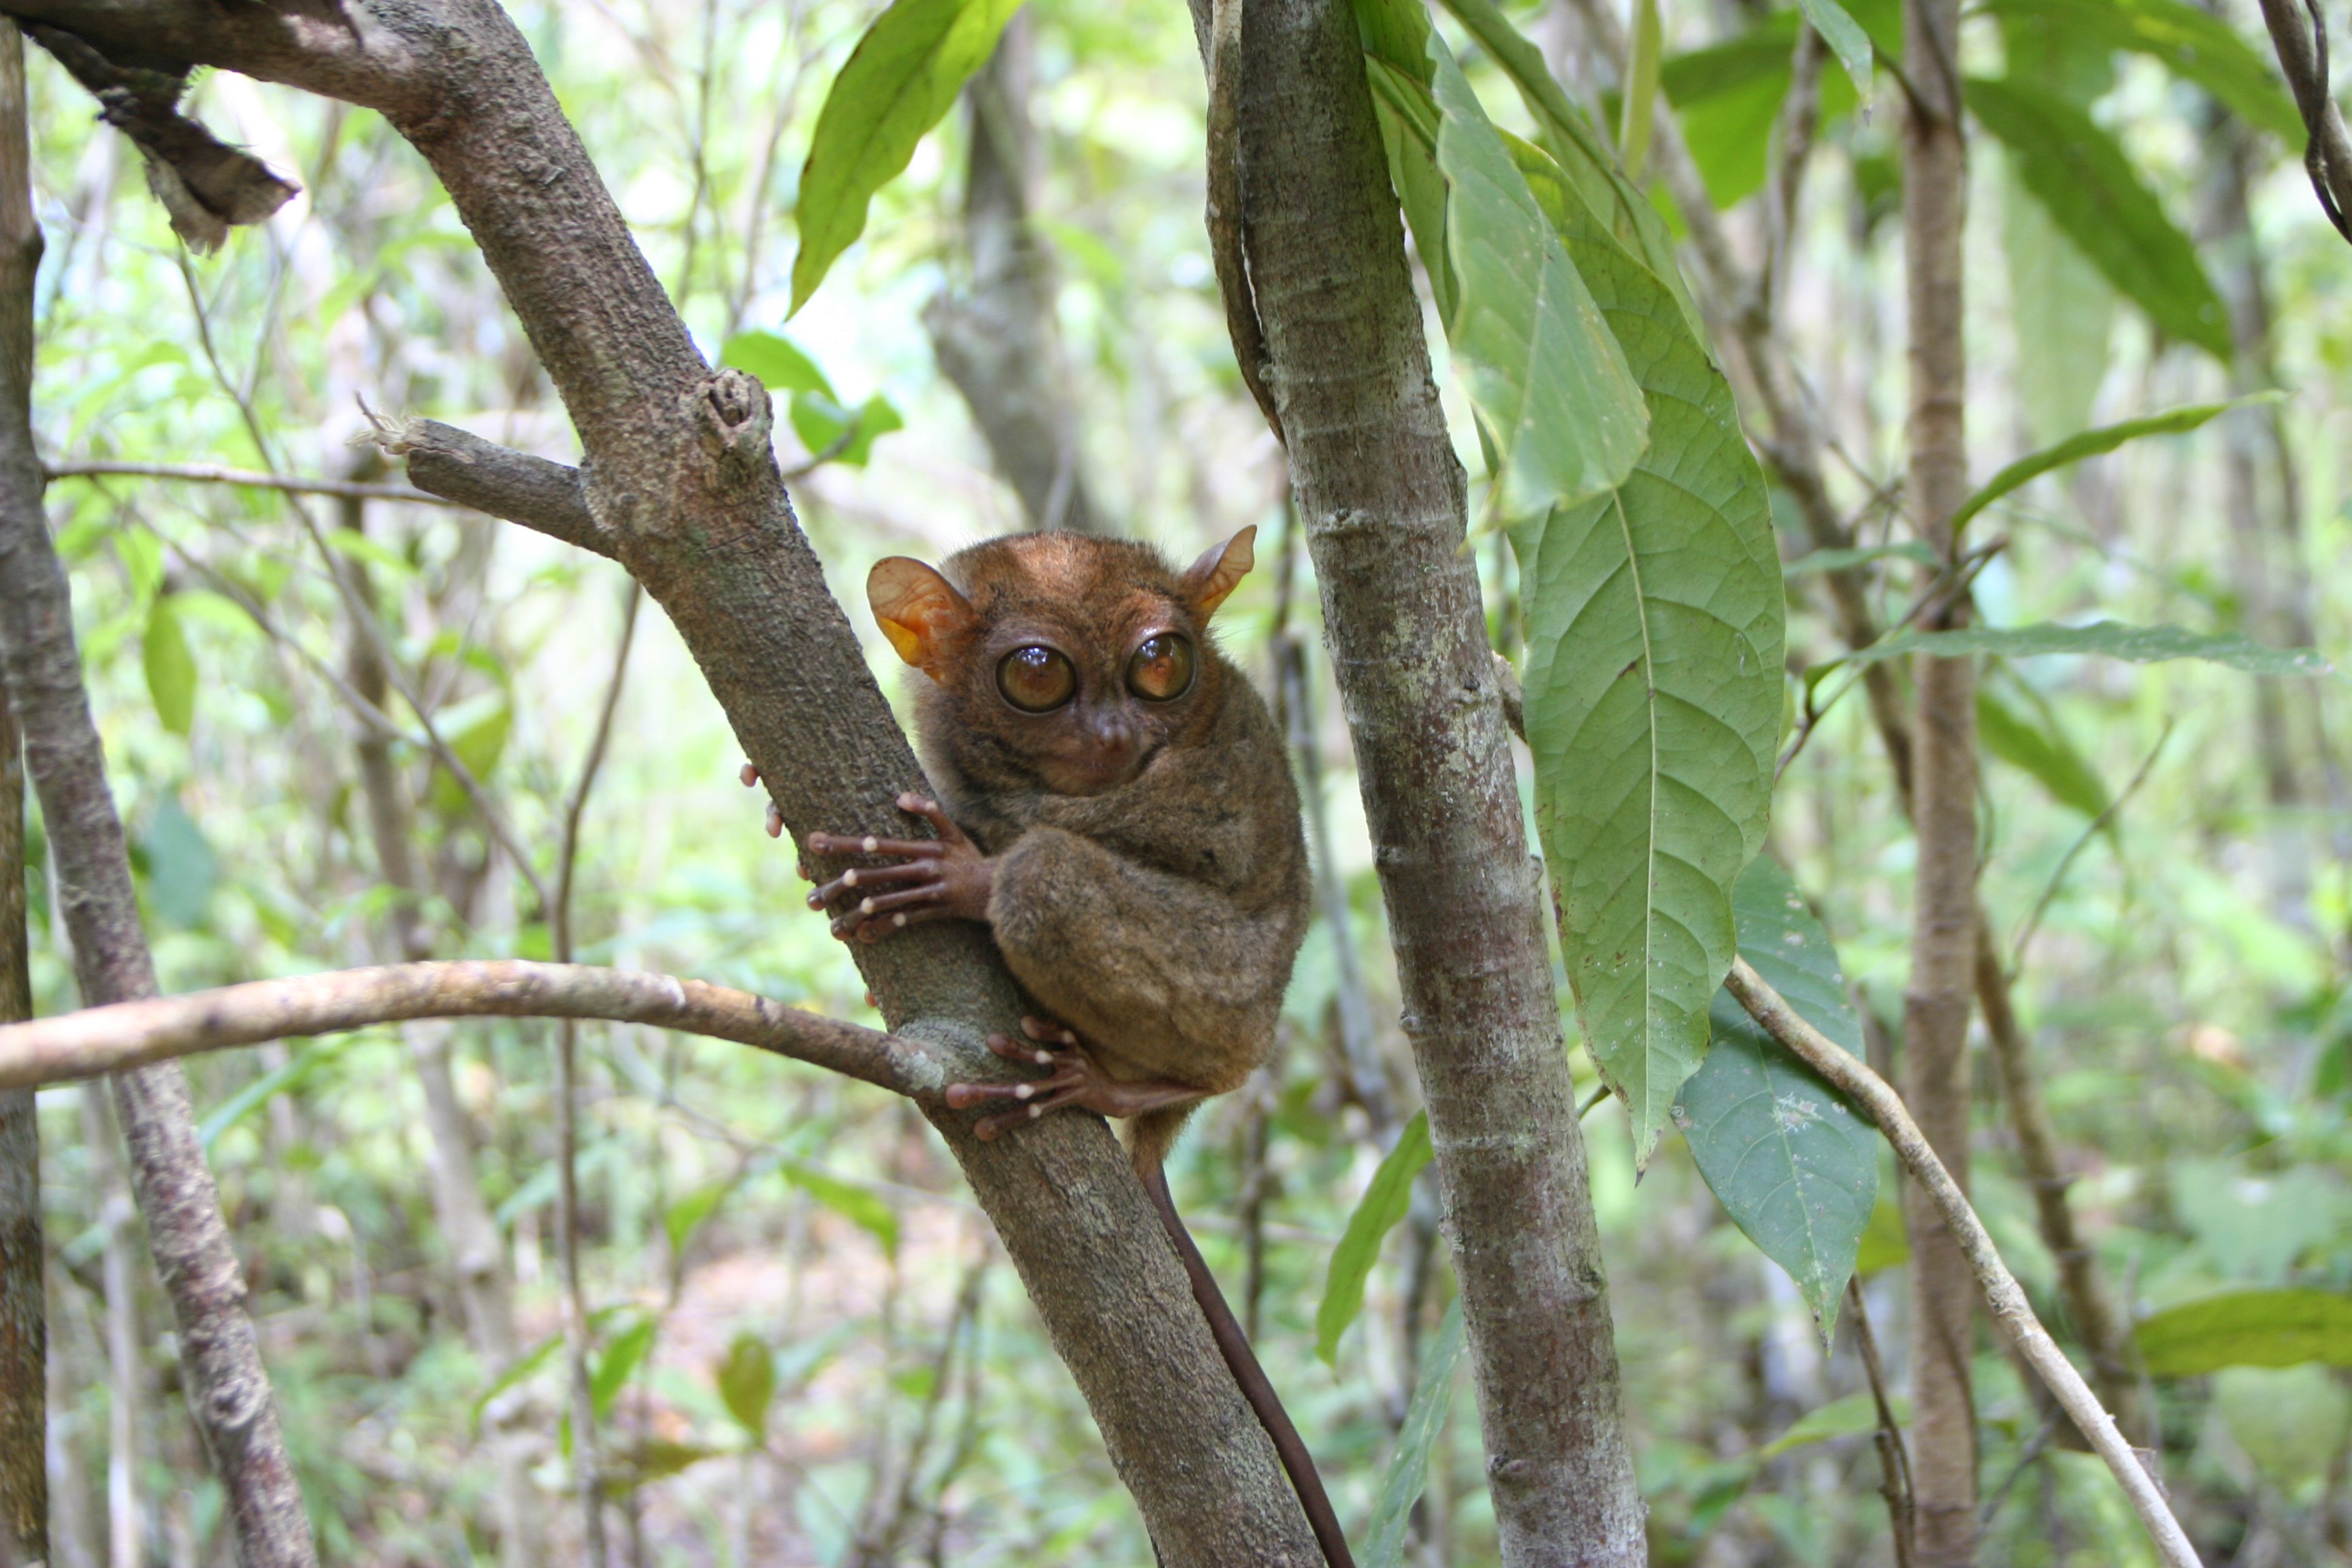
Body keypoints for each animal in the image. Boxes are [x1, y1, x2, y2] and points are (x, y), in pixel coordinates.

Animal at [757, 526, 1353, 1566]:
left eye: (1161, 665)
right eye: (1036, 676)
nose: (1115, 737)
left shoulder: (1206, 773)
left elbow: (1142, 838)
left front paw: (958, 872)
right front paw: (767, 800)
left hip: (1222, 1004)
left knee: (1044, 879)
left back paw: (1102, 1085)